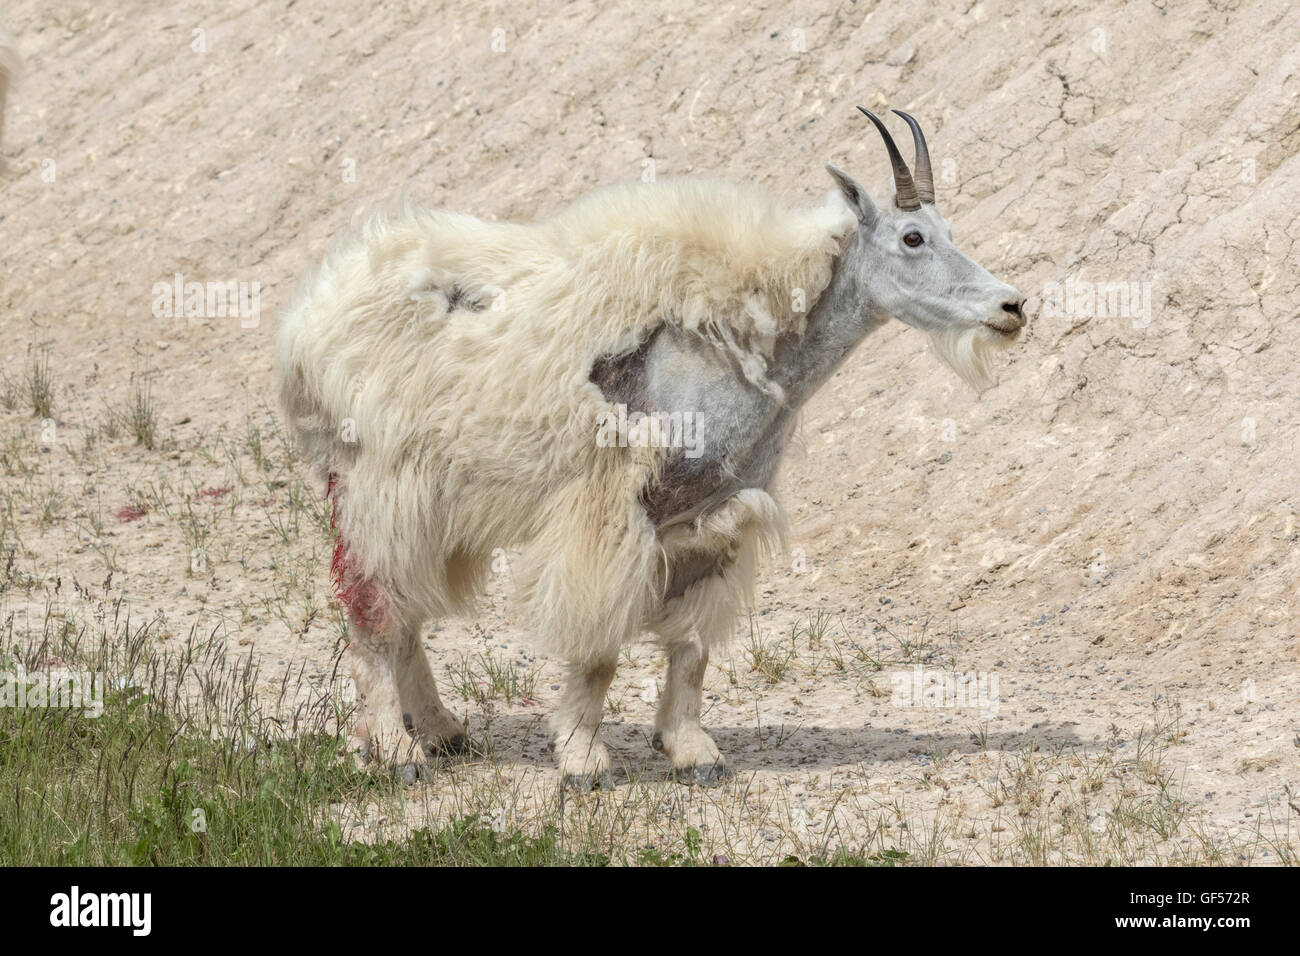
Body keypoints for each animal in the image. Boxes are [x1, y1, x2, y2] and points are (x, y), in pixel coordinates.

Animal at [276, 109, 1026, 787]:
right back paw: (396, 752)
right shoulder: (613, 510)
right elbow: (600, 650)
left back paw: (442, 731)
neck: (746, 339)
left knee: (399, 609)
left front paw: (693, 753)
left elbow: (691, 650)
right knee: (370, 606)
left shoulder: (714, 516)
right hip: (371, 480)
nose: (1012, 307)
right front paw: (583, 762)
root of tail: (309, 320)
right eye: (912, 236)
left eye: (949, 231)